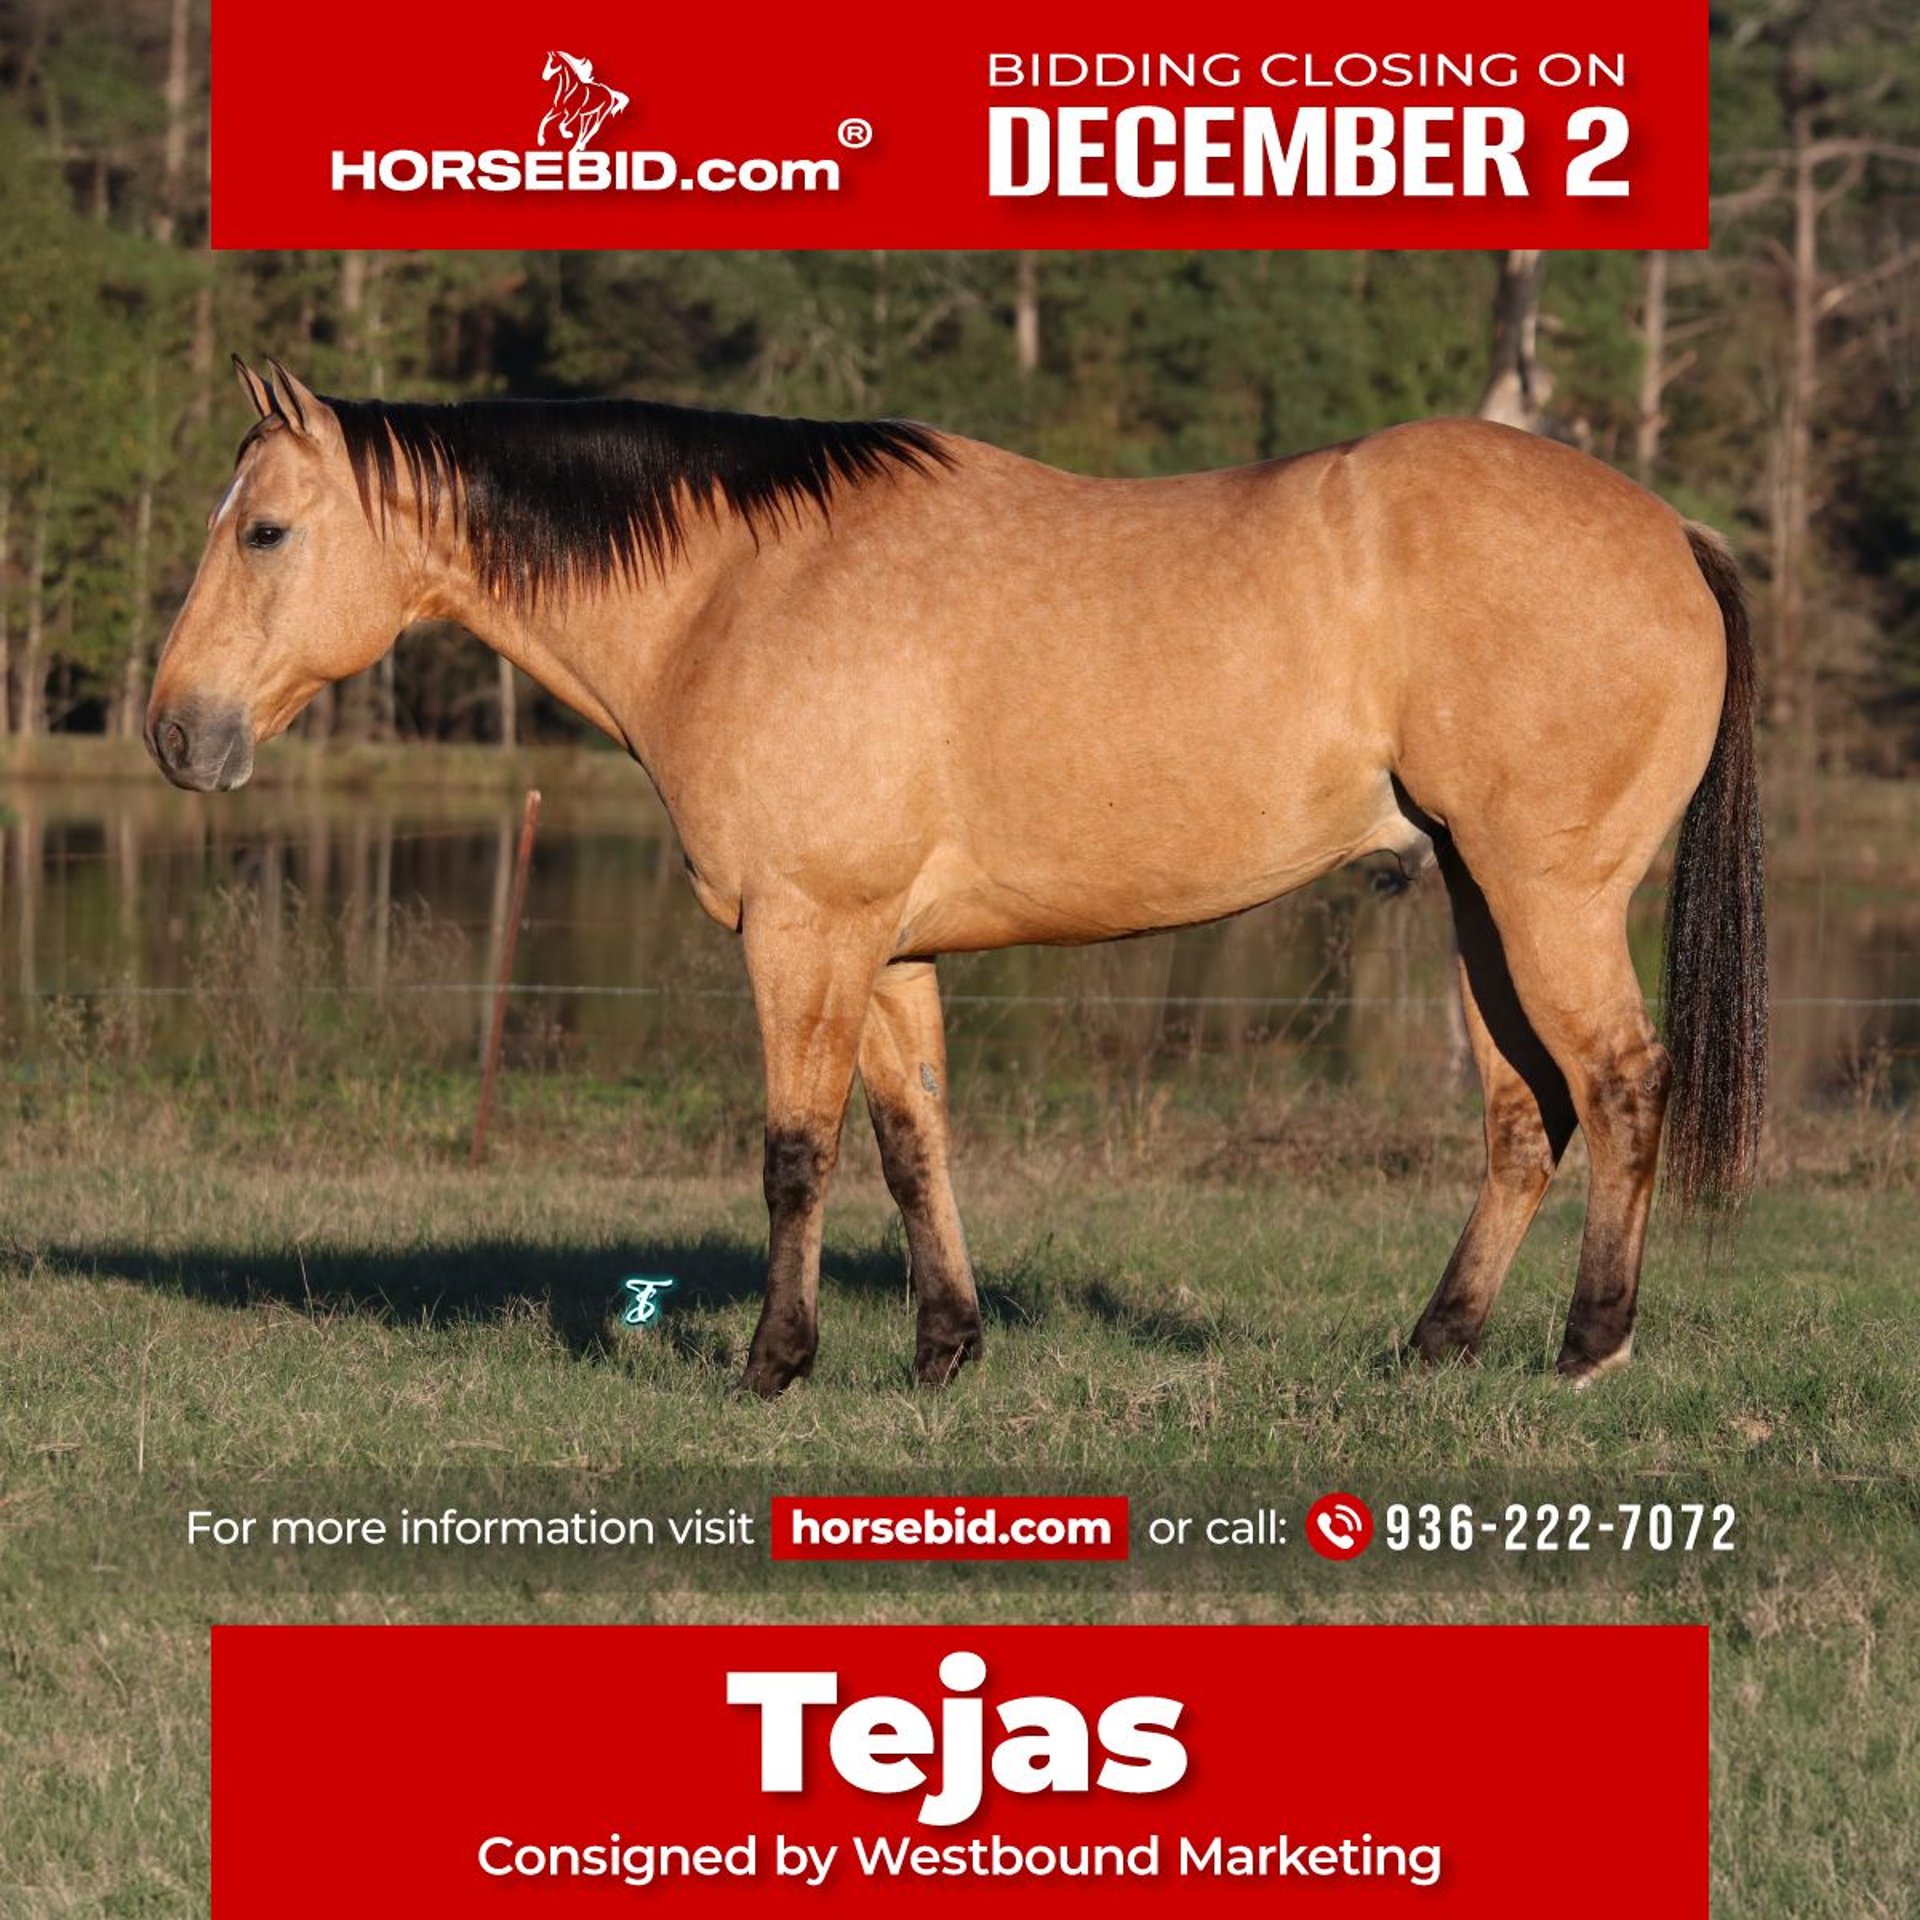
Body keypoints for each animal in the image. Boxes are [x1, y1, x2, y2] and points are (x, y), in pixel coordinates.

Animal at [148, 359, 1767, 1397]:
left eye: (267, 530)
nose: (175, 733)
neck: (738, 589)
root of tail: (1673, 531)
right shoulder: (888, 949)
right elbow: (912, 1143)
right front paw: (942, 1353)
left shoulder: (803, 932)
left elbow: (796, 1155)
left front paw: (775, 1365)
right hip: (1481, 902)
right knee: (1524, 1114)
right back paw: (1435, 1348)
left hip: (1548, 897)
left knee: (1620, 1082)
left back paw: (1588, 1348)